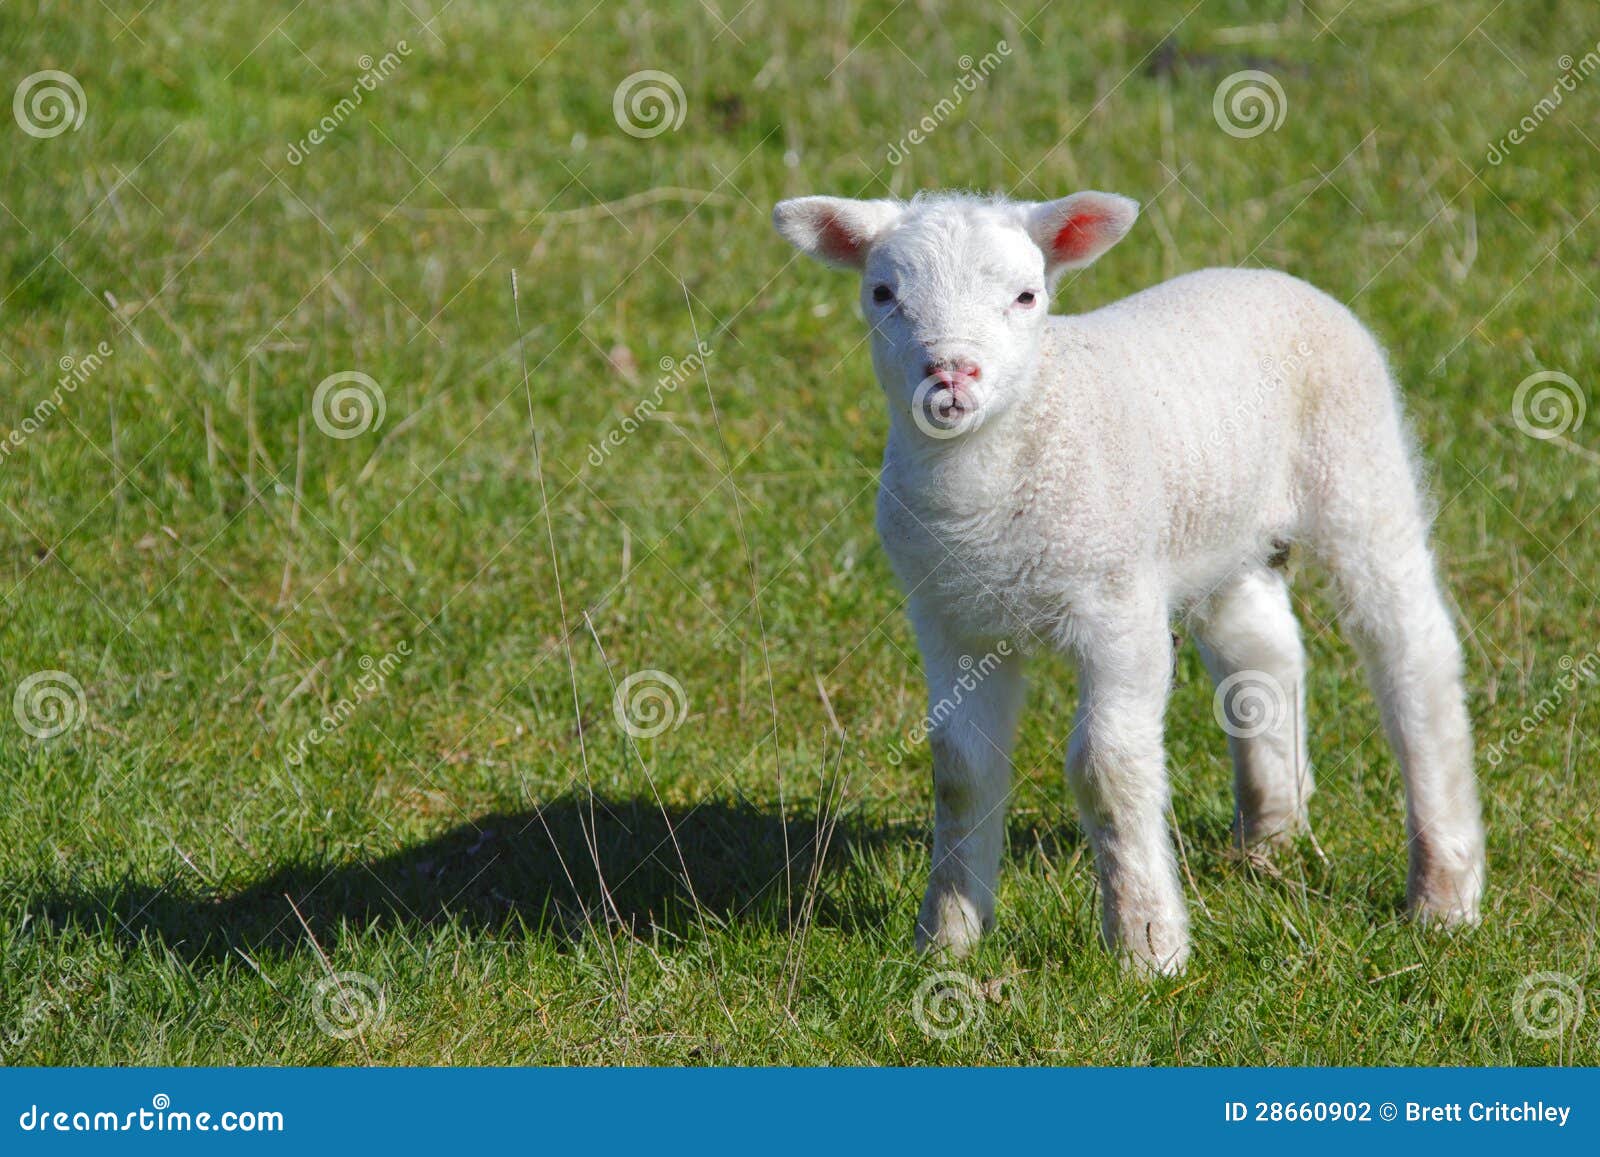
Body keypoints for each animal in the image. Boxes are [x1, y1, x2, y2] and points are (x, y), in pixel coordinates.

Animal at [772, 189, 1485, 974]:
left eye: (1026, 295)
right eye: (882, 293)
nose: (952, 375)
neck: (985, 495)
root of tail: (1268, 277)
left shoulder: (1118, 610)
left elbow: (1106, 768)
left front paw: (1147, 945)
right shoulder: (950, 620)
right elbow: (961, 771)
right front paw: (947, 939)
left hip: (1361, 472)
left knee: (1414, 655)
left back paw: (1444, 892)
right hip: (1218, 530)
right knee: (1261, 650)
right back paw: (1270, 834)